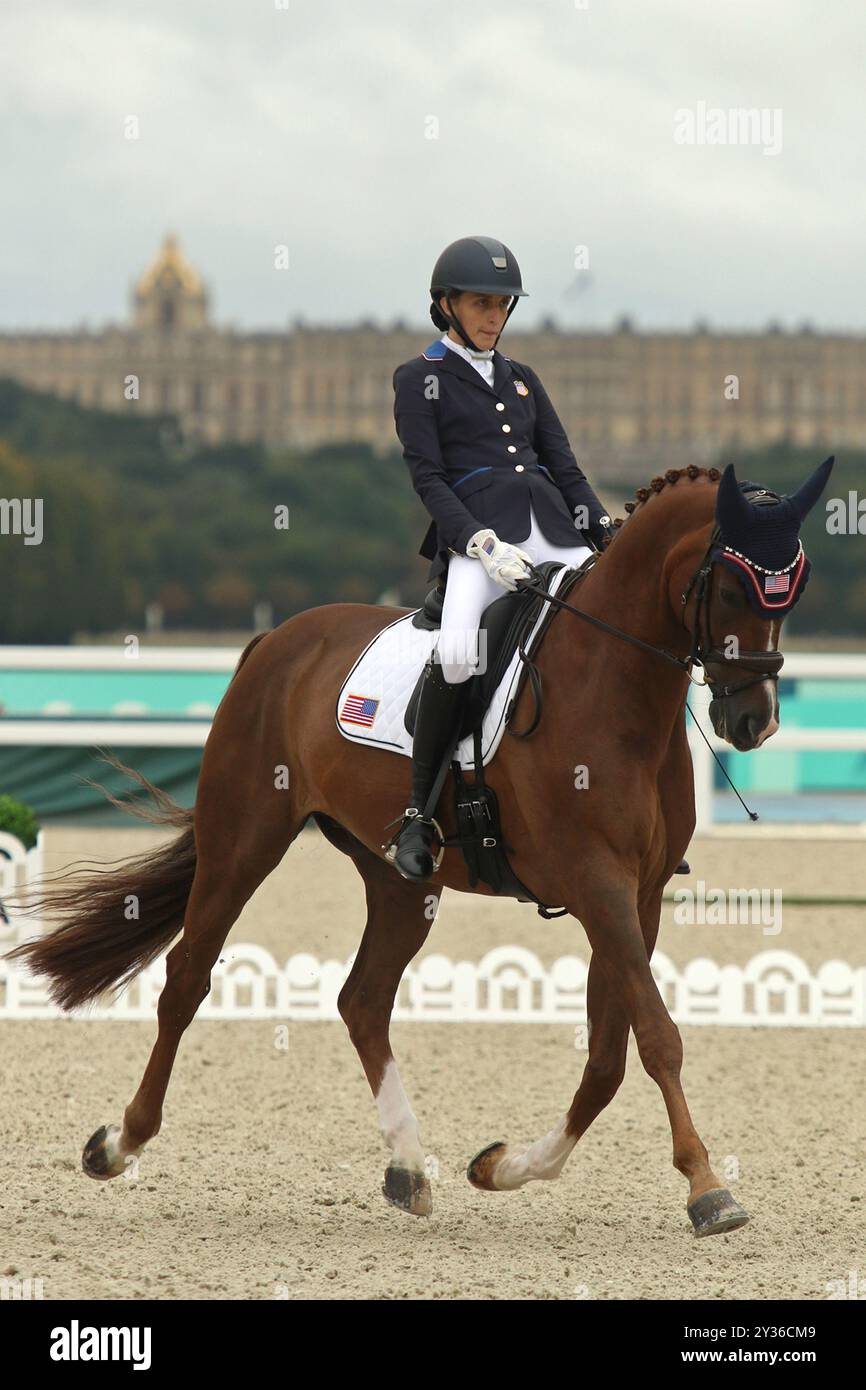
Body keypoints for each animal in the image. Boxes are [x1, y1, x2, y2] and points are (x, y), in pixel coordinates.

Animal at [5, 458, 833, 1237]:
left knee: (363, 999)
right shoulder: (597, 882)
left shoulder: (640, 892)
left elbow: (607, 1056)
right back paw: (118, 1145)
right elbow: (658, 1038)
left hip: (403, 880)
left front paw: (505, 1167)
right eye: (734, 590)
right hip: (243, 839)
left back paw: (406, 1166)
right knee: (186, 979)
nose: (754, 721)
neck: (615, 686)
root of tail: (276, 639)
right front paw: (708, 1190)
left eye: (791, 593)